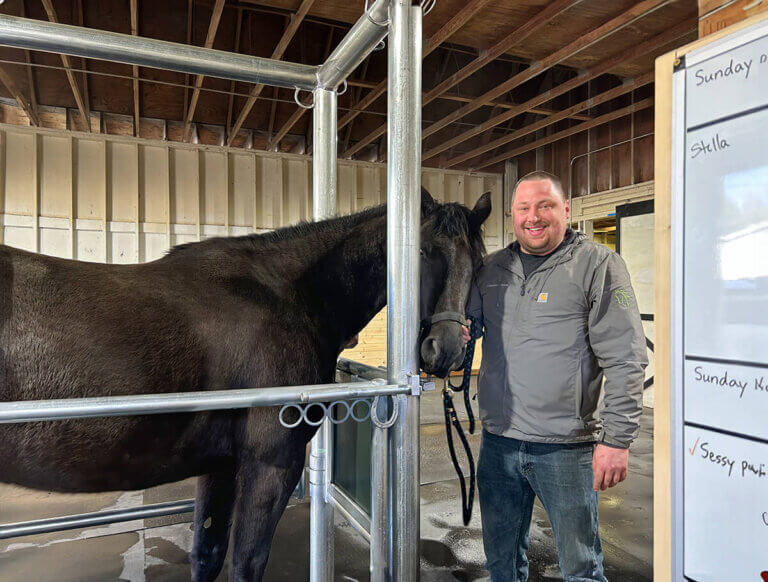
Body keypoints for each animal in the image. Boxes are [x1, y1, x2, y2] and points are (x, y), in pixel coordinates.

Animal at [0, 187, 491, 581]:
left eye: (479, 262)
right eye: (421, 252)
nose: (446, 349)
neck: (287, 296)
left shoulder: (219, 464)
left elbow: (207, 554)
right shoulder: (270, 462)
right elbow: (245, 562)